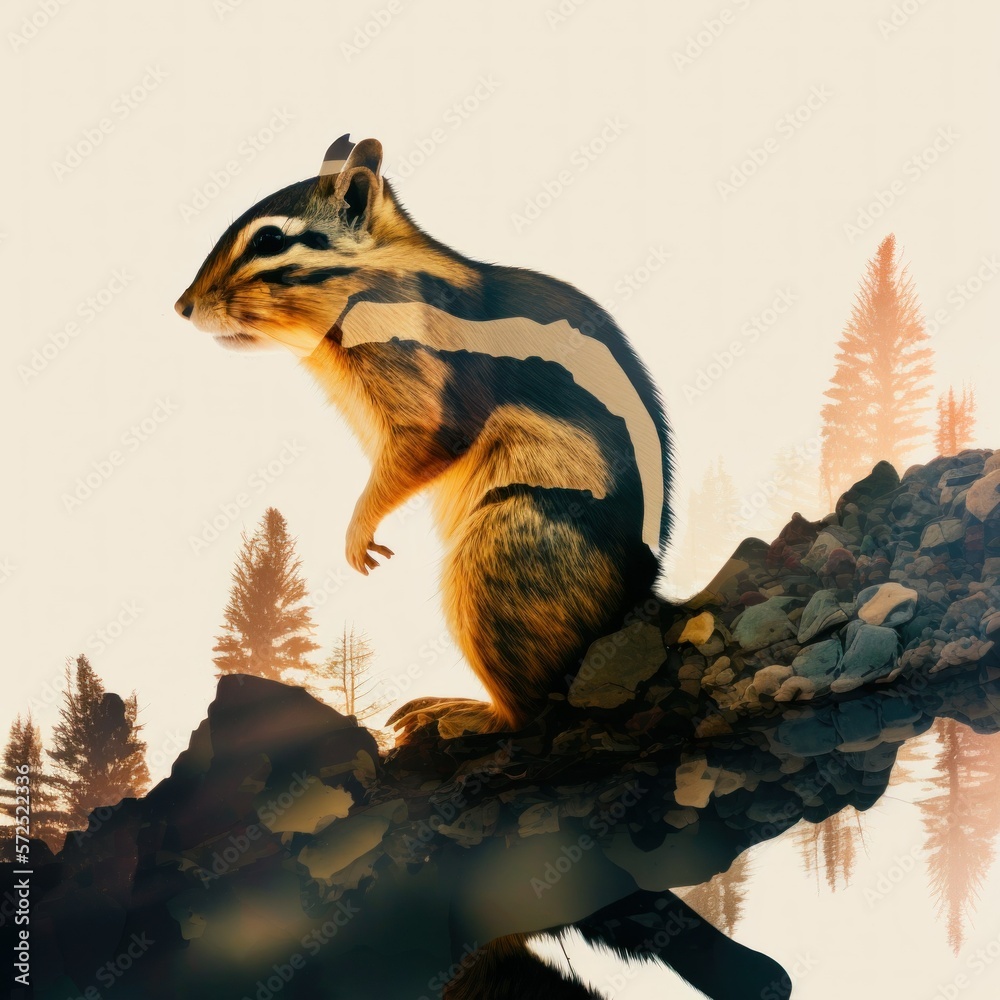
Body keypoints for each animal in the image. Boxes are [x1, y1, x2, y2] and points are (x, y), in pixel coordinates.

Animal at [175, 134, 671, 737]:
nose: (181, 307)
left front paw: (357, 530)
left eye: (269, 239)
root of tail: (640, 598)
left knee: (528, 710)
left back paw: (466, 711)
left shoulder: (422, 378)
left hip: (497, 557)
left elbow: (433, 439)